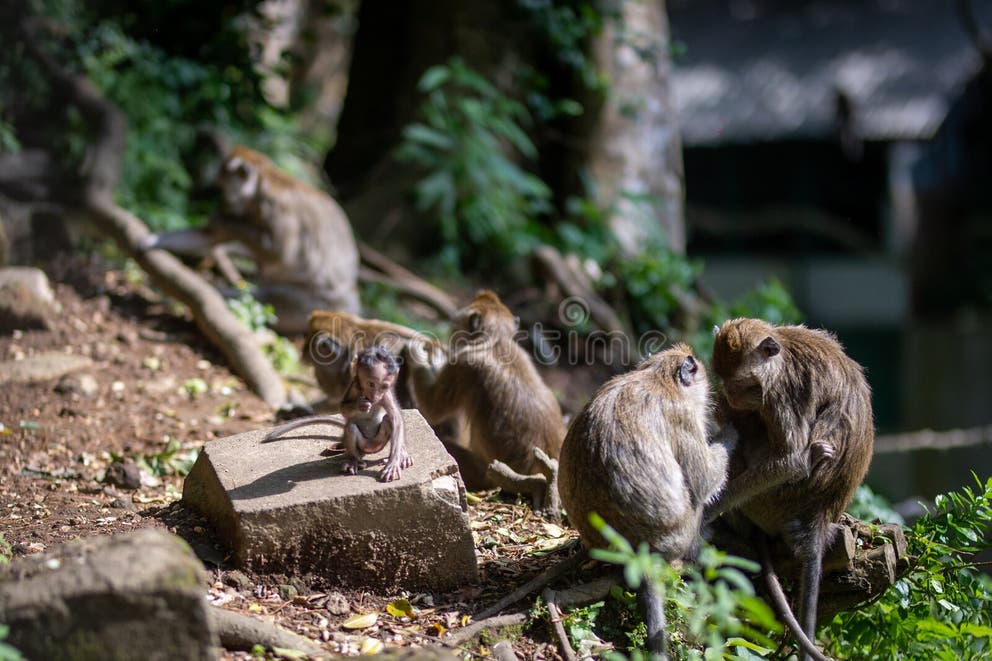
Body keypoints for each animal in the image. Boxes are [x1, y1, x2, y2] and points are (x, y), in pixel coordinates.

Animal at [144, 144, 361, 334]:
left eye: (222, 186)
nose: (222, 201)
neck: (260, 188)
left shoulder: (276, 208)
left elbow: (280, 255)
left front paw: (226, 221)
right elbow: (209, 235)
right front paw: (152, 240)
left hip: (309, 302)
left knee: (266, 296)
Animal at [266, 346, 411, 482]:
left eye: (384, 386)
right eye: (371, 384)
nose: (375, 396)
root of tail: (371, 448)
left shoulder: (386, 395)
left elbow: (396, 419)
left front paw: (393, 462)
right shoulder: (354, 386)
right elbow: (343, 408)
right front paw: (360, 404)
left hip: (379, 441)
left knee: (387, 420)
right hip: (362, 444)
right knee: (351, 427)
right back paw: (354, 461)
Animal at [403, 290, 565, 502]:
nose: (451, 335)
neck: (498, 341)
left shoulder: (464, 363)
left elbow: (433, 409)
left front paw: (419, 354)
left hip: (485, 474)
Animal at [558, 343, 733, 657]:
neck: (657, 377)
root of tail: (638, 552)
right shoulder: (683, 415)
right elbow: (703, 480)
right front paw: (730, 434)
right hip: (679, 534)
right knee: (695, 499)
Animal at [706, 318, 874, 661]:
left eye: (743, 383)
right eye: (723, 378)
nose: (730, 395)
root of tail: (821, 513)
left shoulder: (783, 394)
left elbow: (791, 461)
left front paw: (708, 507)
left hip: (769, 504)